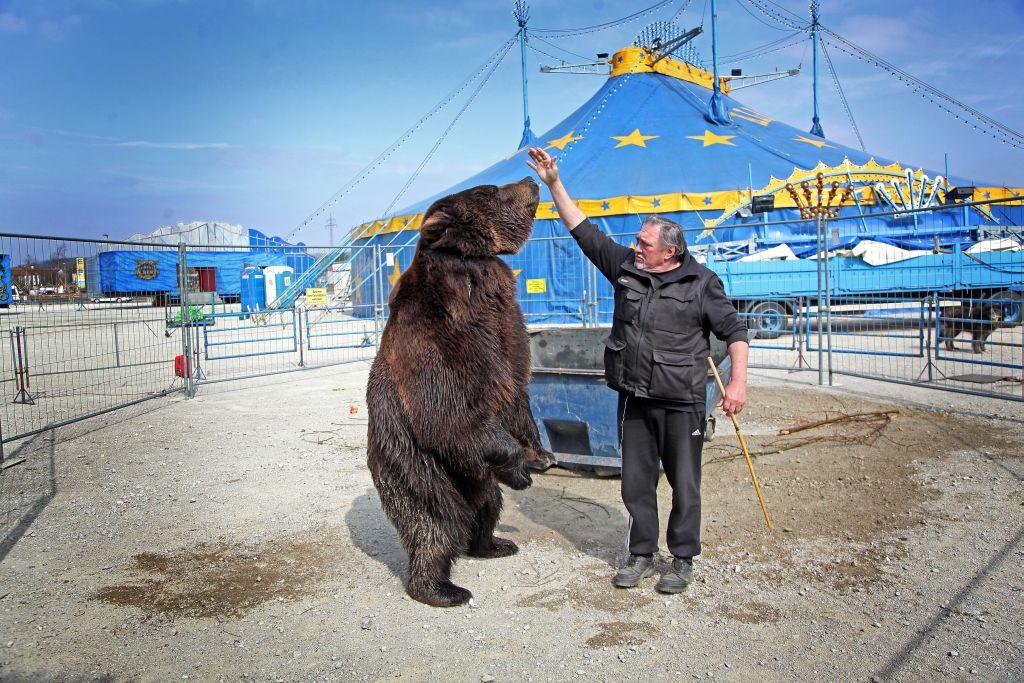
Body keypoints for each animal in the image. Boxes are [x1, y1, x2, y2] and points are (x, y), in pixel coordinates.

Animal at [366, 177, 556, 608]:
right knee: (436, 521)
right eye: (493, 190)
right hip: (415, 466)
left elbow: (516, 395)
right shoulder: (438, 345)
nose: (531, 179)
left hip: (478, 479)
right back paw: (441, 587)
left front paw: (541, 454)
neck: (474, 278)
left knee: (487, 507)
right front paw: (522, 467)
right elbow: (449, 414)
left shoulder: (508, 332)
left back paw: (494, 543)